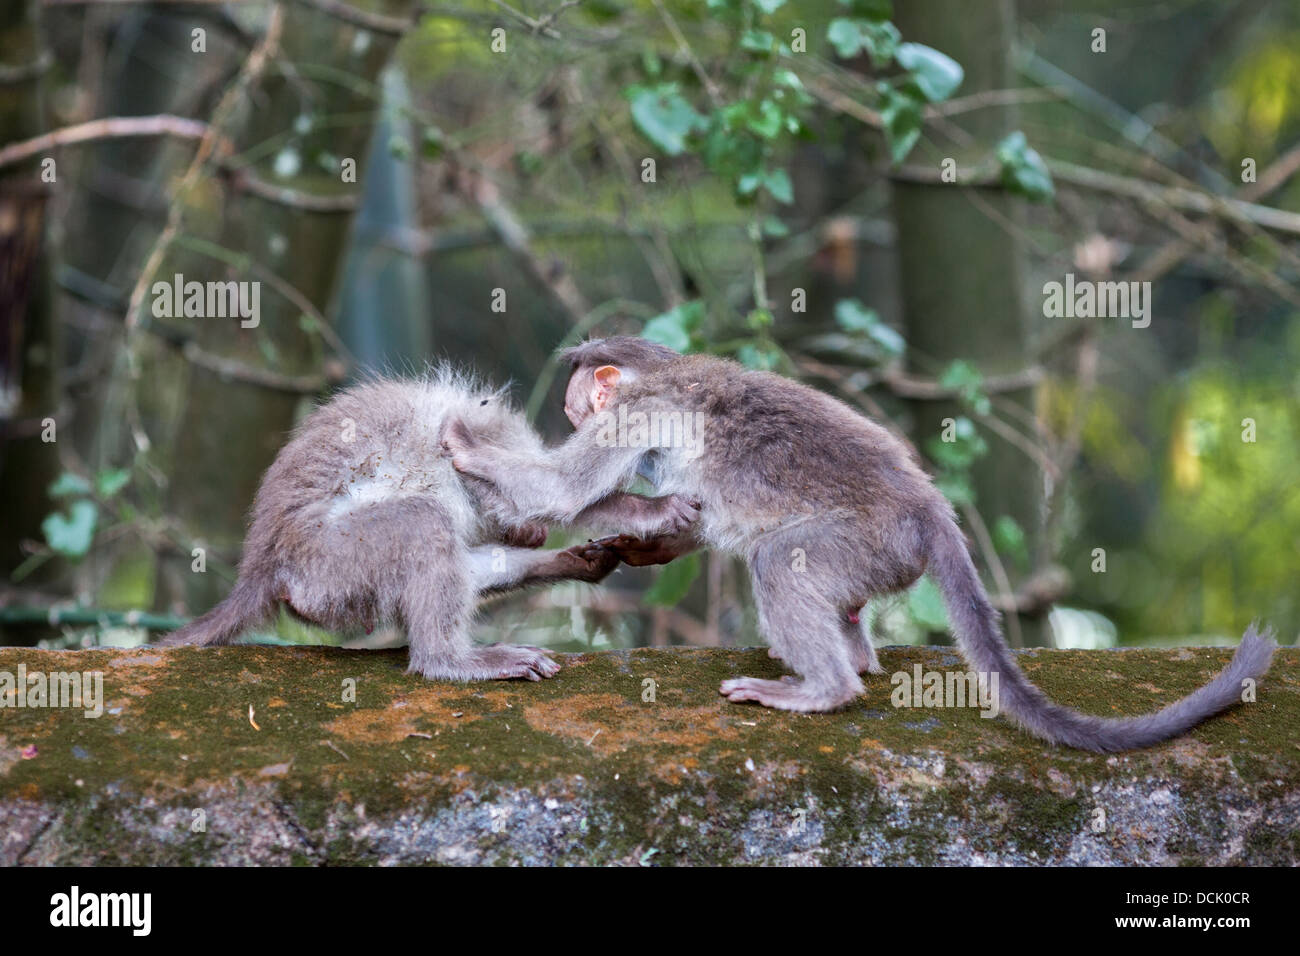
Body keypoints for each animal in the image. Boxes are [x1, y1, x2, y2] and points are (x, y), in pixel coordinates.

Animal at [161, 368, 701, 683]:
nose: (536, 538)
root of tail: (264, 564)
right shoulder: (479, 452)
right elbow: (552, 493)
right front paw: (649, 510)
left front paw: (569, 559)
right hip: (325, 563)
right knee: (423, 520)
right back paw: (447, 662)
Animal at [440, 336, 1276, 750]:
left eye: (579, 402)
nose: (573, 410)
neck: (664, 370)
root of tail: (925, 503)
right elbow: (677, 512)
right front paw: (654, 532)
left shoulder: (643, 408)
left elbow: (560, 488)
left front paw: (470, 450)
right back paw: (854, 658)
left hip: (871, 541)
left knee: (780, 561)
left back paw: (827, 688)